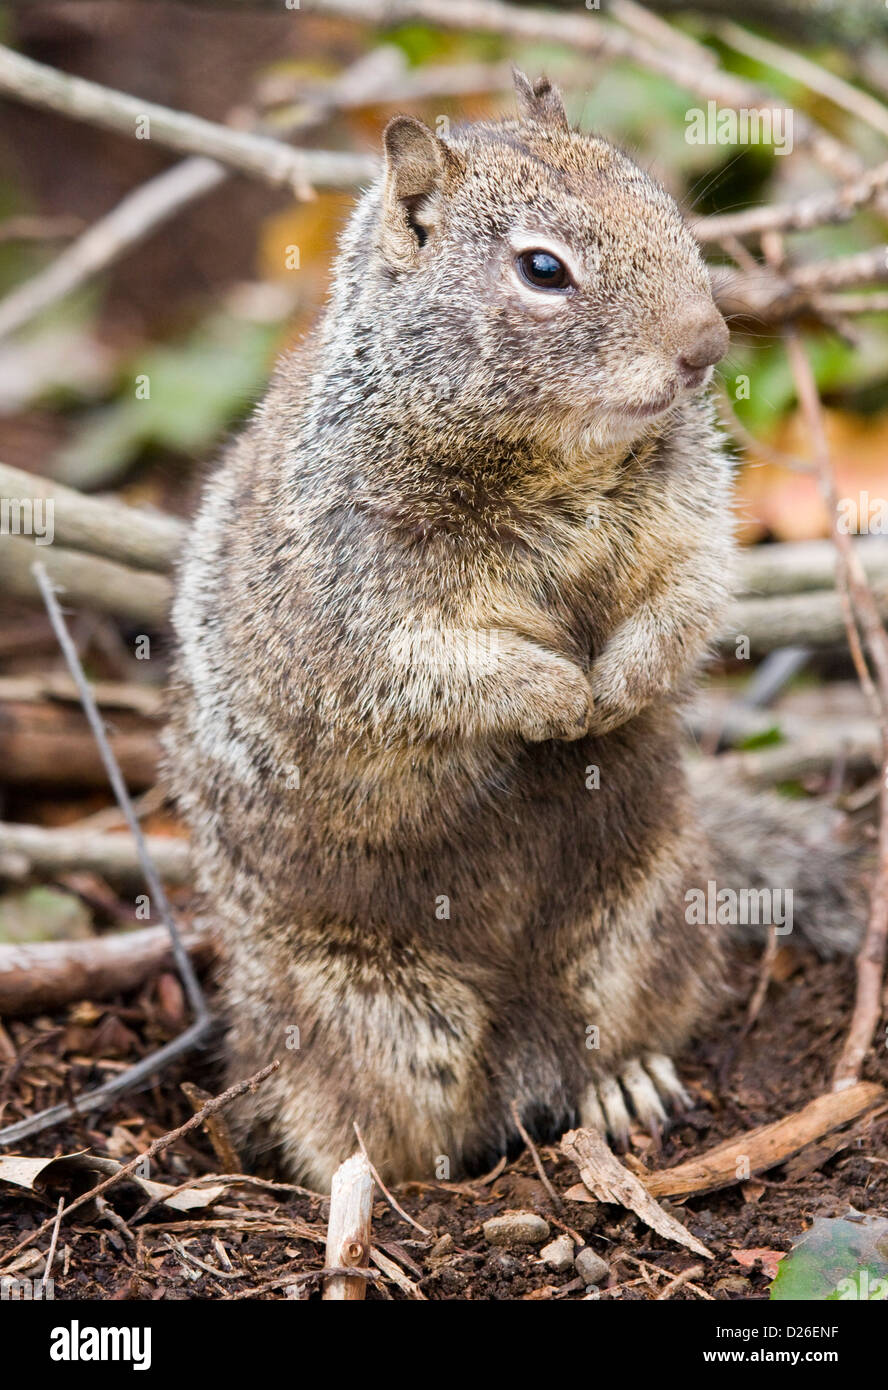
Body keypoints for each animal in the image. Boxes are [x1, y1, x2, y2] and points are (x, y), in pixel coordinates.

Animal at [165, 72, 864, 1189]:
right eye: (543, 269)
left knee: (606, 1037)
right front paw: (560, 694)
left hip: (644, 921)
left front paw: (622, 682)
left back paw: (623, 1083)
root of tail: (524, 1035)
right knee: (362, 1118)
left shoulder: (690, 519)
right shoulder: (371, 593)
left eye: (665, 208)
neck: (556, 465)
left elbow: (690, 595)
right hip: (374, 1019)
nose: (706, 348)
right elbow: (438, 666)